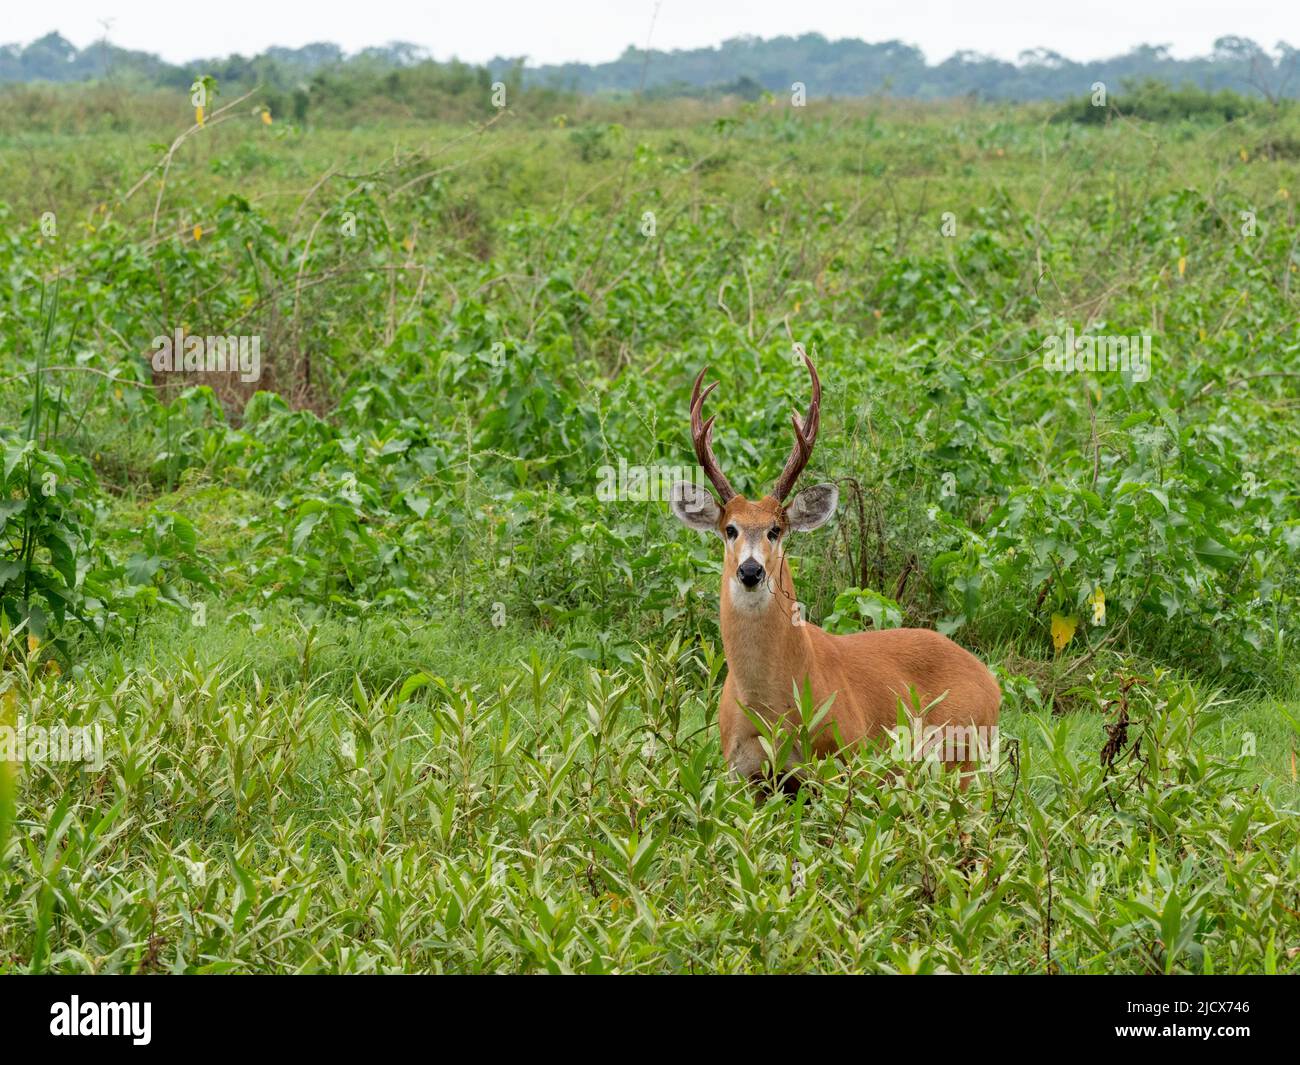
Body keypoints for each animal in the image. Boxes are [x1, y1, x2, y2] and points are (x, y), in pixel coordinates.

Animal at [669, 354, 1001, 788]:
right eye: (730, 529)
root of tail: (992, 683)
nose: (751, 571)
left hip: (961, 758)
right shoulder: (742, 774)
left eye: (776, 529)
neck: (770, 710)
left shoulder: (847, 760)